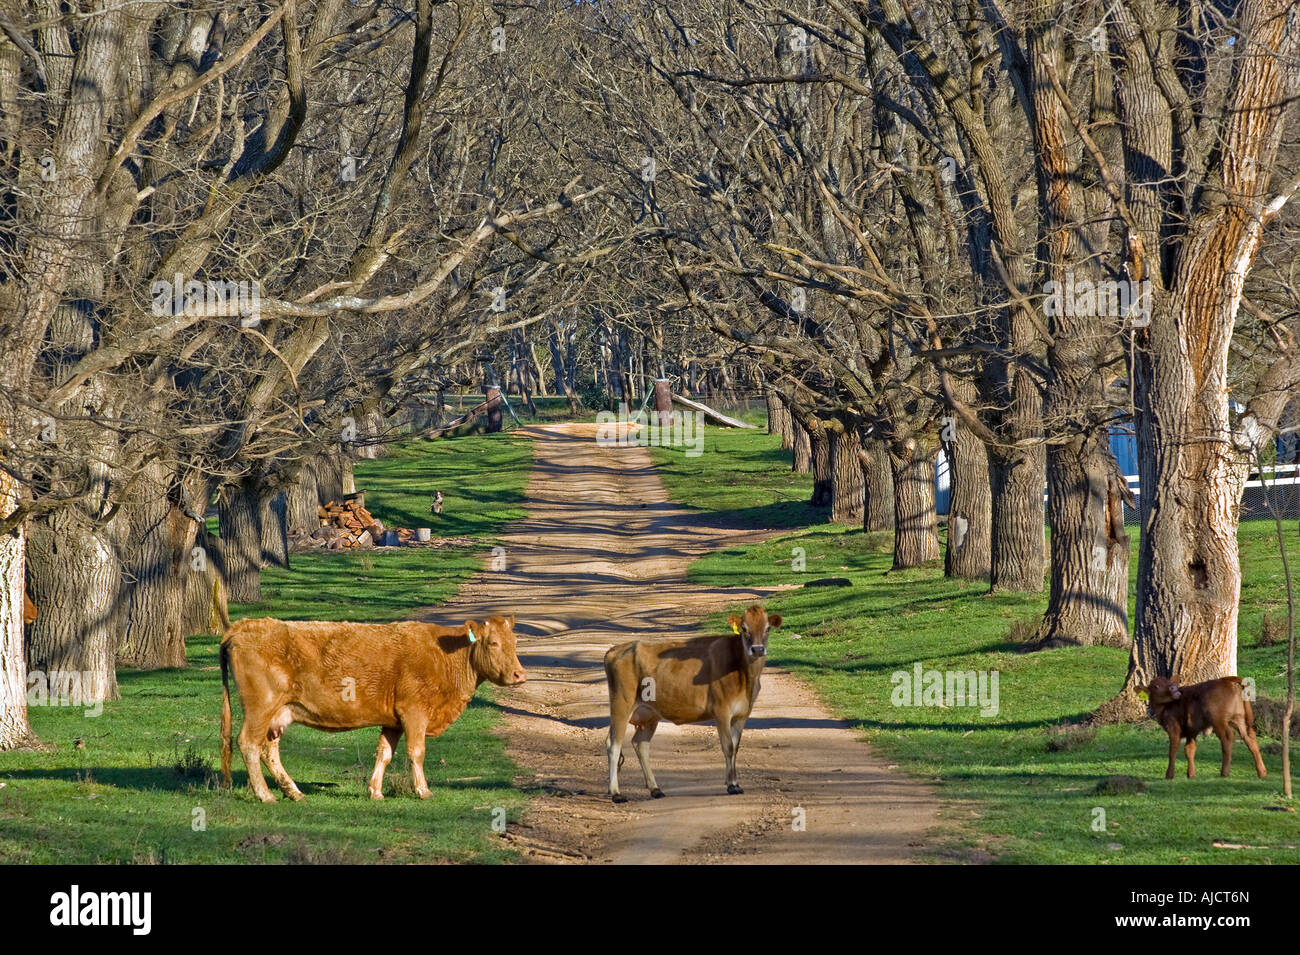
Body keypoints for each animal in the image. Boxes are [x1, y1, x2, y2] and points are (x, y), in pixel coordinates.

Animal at [220, 615, 525, 802]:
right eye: (493, 643)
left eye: (514, 642)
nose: (519, 674)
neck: (446, 656)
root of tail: (246, 624)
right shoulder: (414, 712)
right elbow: (417, 752)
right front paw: (423, 790)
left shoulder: (393, 720)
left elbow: (384, 753)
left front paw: (375, 791)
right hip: (260, 708)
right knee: (248, 744)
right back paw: (265, 795)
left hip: (277, 715)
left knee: (268, 751)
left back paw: (293, 792)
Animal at [604, 604, 781, 802]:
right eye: (744, 628)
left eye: (767, 628)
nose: (757, 649)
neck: (746, 676)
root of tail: (617, 649)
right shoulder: (721, 711)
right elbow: (727, 747)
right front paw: (731, 786)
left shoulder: (742, 714)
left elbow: (735, 748)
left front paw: (734, 783)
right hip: (621, 703)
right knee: (613, 744)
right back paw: (616, 793)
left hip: (649, 713)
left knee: (640, 744)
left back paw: (655, 789)